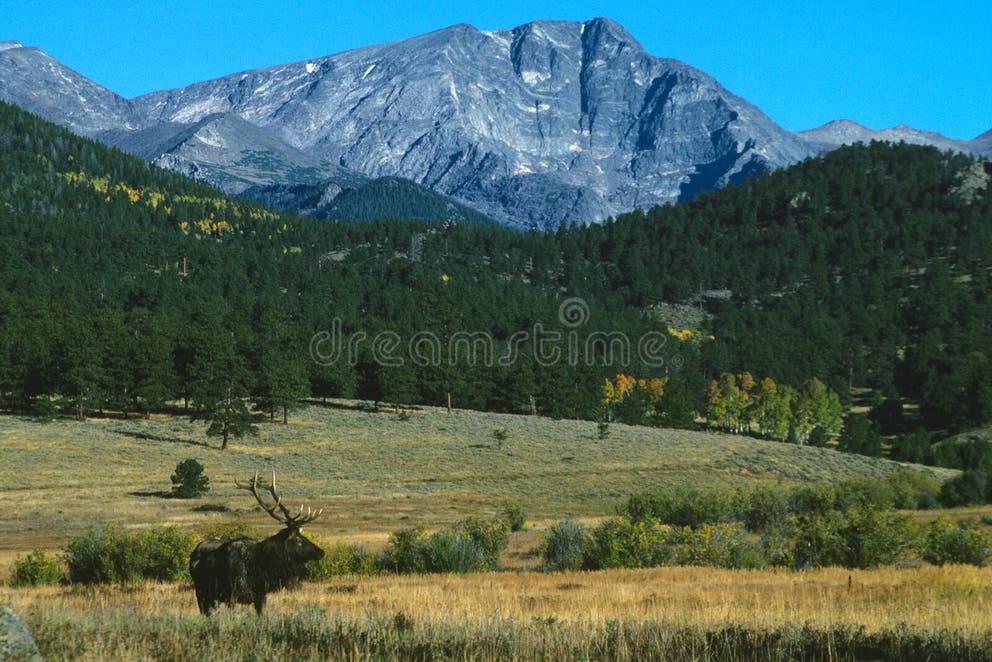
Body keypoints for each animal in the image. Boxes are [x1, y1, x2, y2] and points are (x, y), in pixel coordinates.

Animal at [189, 470, 325, 615]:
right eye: (299, 540)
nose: (322, 552)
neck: (262, 570)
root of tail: (194, 552)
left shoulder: (260, 596)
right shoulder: (231, 595)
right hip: (201, 593)